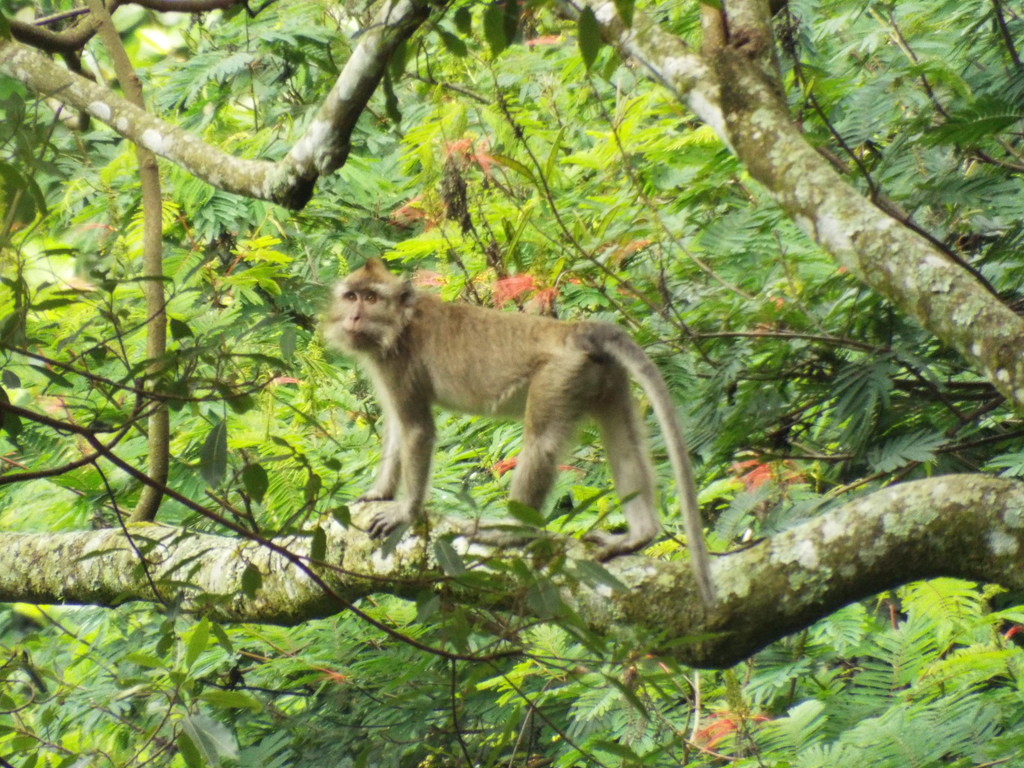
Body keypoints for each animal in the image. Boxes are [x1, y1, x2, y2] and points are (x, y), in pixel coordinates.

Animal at [323, 258, 715, 604]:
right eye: (352, 296)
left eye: (371, 298)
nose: (354, 316)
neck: (401, 323)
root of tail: (573, 330)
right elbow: (396, 427)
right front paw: (379, 493)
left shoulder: (399, 363)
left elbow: (416, 430)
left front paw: (406, 512)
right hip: (605, 377)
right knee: (624, 444)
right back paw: (638, 536)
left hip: (558, 377)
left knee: (540, 444)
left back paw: (511, 535)